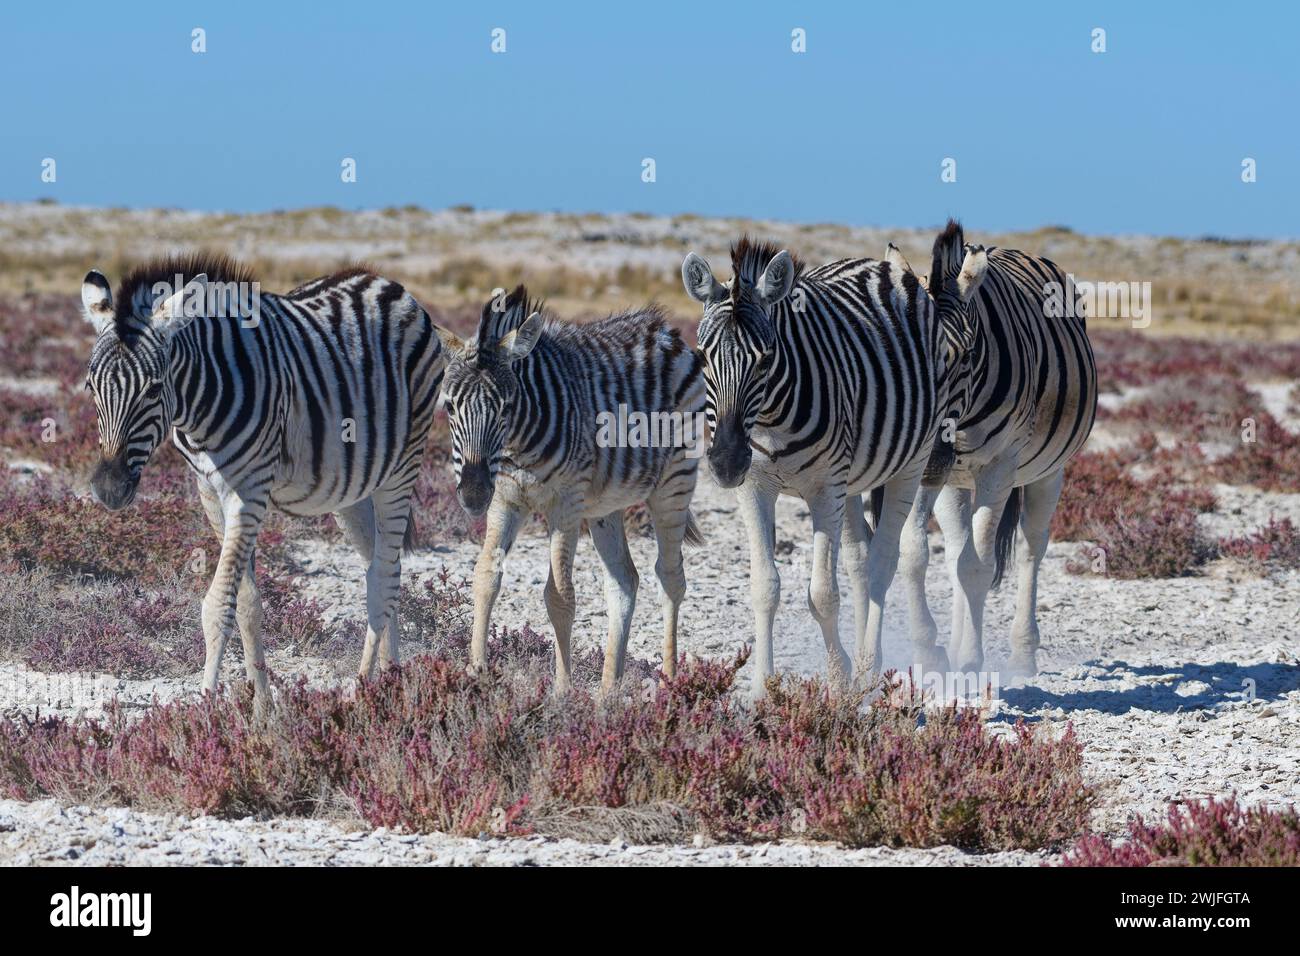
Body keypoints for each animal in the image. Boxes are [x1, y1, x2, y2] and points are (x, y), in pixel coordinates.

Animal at [80, 254, 446, 709]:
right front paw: (262, 708)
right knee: (383, 565)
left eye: (153, 389)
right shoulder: (209, 492)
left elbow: (217, 605)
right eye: (91, 387)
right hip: (353, 490)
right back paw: (391, 678)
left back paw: (363, 689)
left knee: (382, 577)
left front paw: (206, 709)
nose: (109, 490)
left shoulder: (248, 492)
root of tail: (385, 283)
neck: (200, 404)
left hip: (401, 468)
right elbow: (247, 603)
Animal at [436, 285, 705, 693]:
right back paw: (607, 693)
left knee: (671, 577)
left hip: (675, 482)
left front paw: (563, 691)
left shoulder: (565, 503)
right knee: (624, 581)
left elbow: (559, 595)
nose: (472, 495)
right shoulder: (506, 500)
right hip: (606, 507)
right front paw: (475, 674)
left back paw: (671, 684)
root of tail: (665, 331)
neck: (517, 445)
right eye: (450, 408)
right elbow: (485, 577)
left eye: (505, 408)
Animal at [681, 238, 946, 697]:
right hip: (854, 481)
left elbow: (822, 594)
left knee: (882, 562)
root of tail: (873, 263)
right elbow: (764, 587)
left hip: (910, 463)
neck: (770, 420)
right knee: (860, 561)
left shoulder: (825, 488)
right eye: (701, 357)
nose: (726, 463)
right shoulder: (754, 487)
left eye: (765, 358)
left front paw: (838, 681)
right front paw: (762, 689)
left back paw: (867, 670)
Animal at [894, 220, 1097, 680]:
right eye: (910, 359)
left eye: (967, 355)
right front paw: (929, 650)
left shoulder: (999, 469)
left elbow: (978, 566)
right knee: (956, 549)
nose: (931, 457)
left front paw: (971, 659)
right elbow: (915, 552)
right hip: (955, 482)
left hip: (1046, 472)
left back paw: (1022, 653)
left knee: (1031, 546)